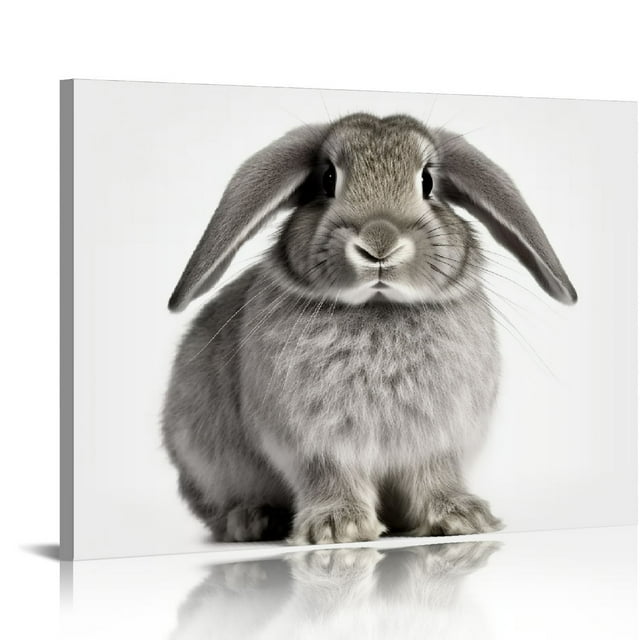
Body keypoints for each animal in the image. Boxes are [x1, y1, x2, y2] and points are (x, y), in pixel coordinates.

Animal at [162, 112, 577, 545]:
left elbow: (435, 475)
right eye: (328, 178)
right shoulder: (315, 444)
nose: (379, 241)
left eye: (427, 181)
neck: (379, 308)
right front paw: (337, 528)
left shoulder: (437, 441)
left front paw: (463, 519)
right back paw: (254, 519)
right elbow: (330, 475)